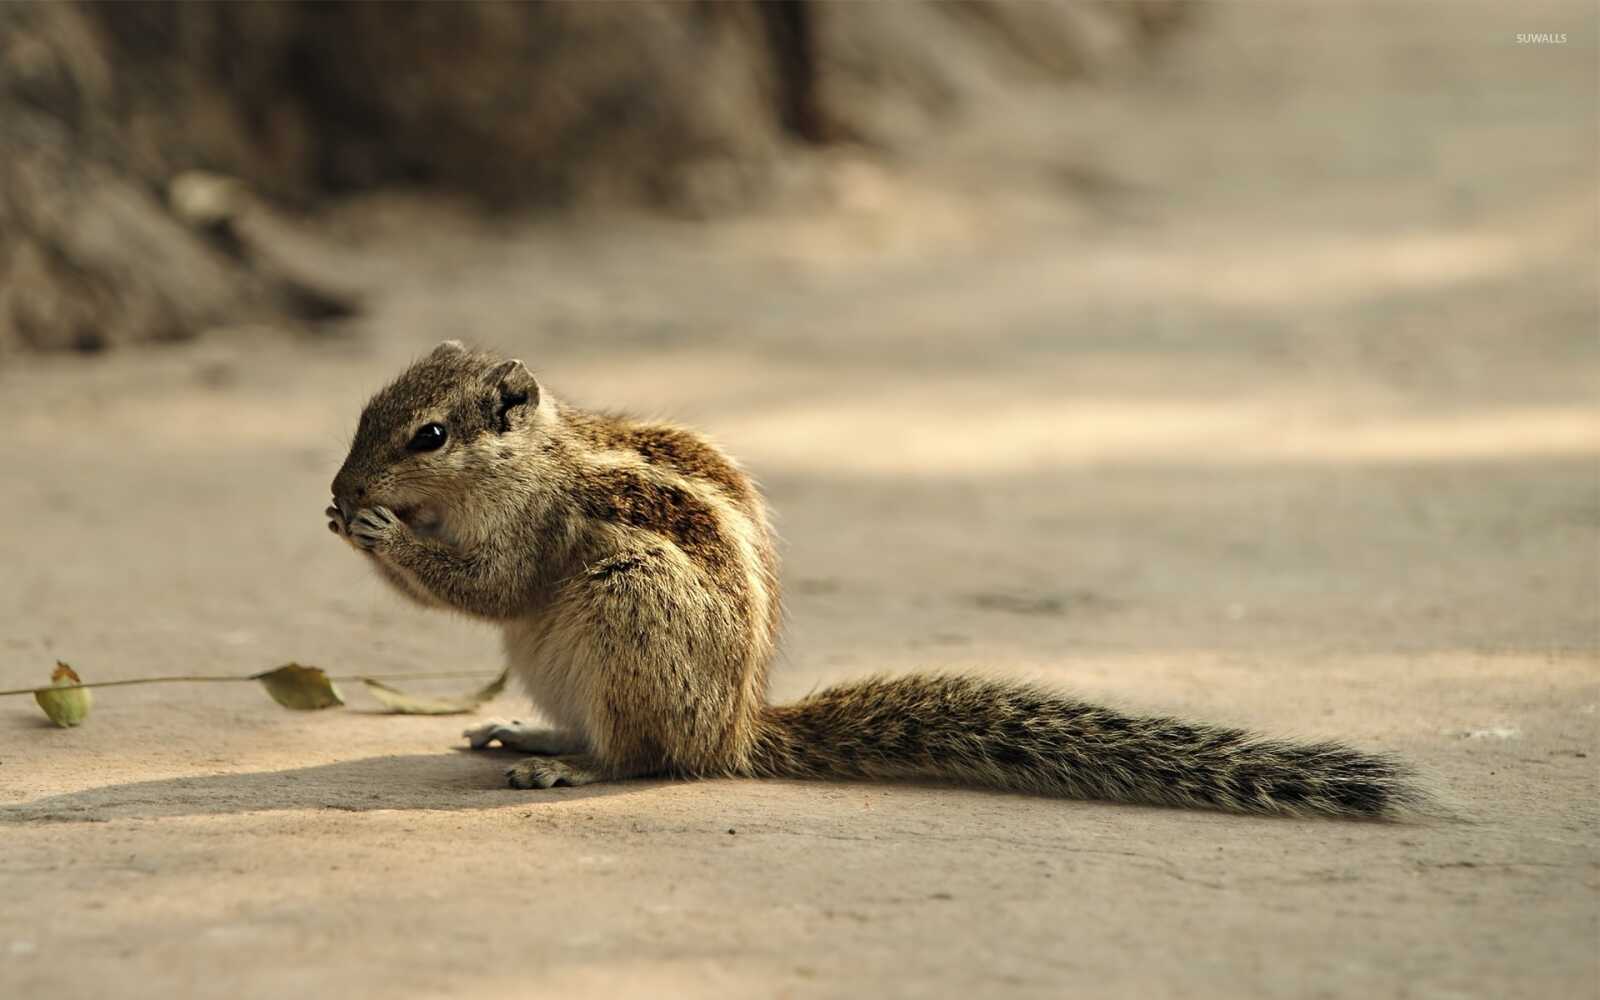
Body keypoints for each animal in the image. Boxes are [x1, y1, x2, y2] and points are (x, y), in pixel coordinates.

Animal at [327, 341, 1423, 817]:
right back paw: (534, 732)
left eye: (428, 434)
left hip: (627, 601)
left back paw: (571, 765)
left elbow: (489, 585)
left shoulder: (535, 526)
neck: (535, 453)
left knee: (650, 760)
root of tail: (738, 730)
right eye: (366, 408)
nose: (342, 486)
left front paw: (375, 530)